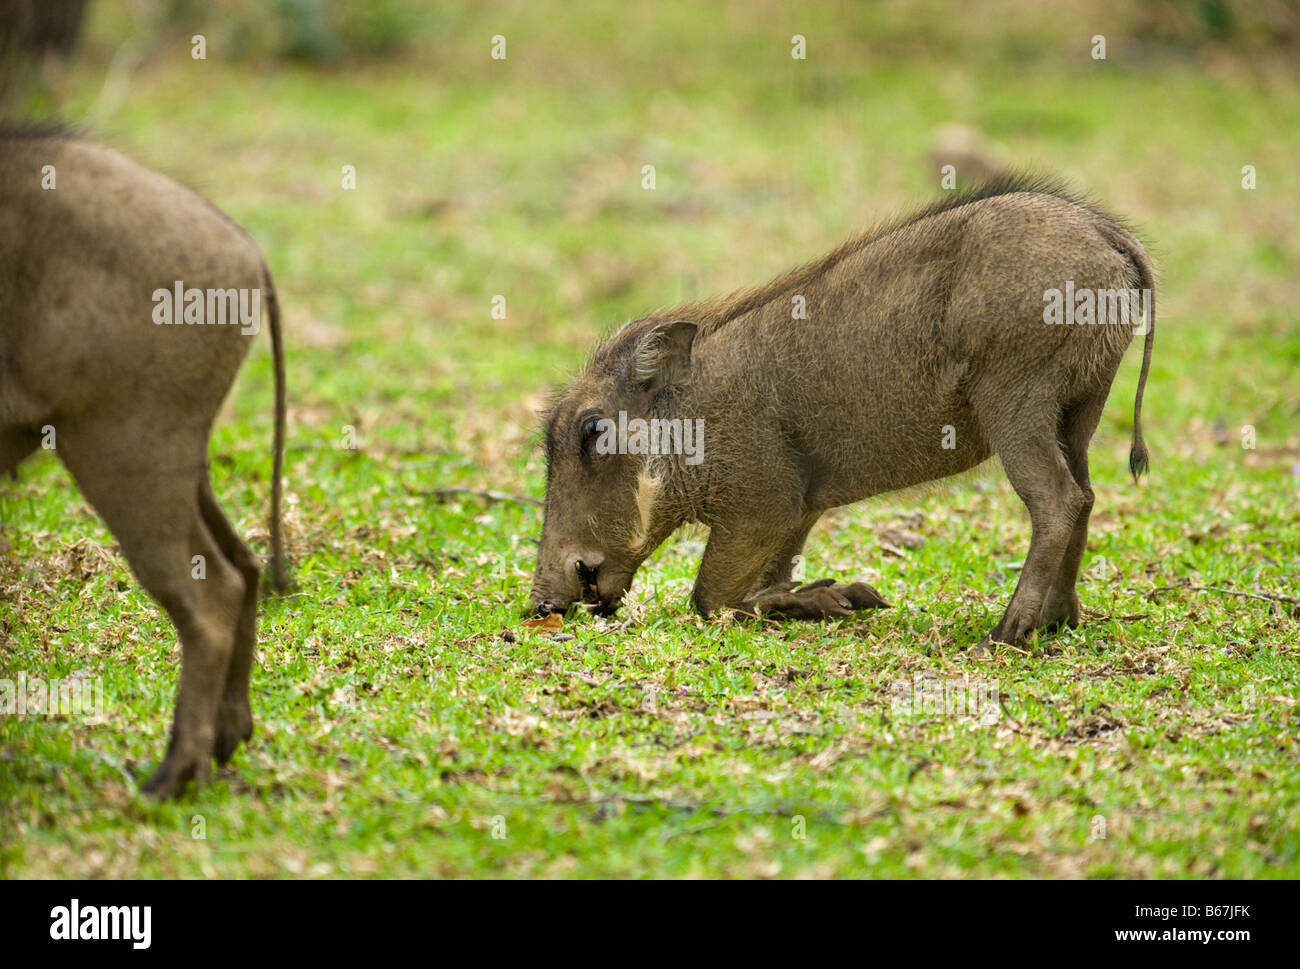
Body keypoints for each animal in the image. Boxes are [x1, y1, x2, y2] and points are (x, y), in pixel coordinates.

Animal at [0, 124, 286, 796]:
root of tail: (243, 243)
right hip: (179, 454)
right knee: (243, 566)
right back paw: (223, 748)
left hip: (126, 447)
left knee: (211, 595)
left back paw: (165, 782)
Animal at [531, 174, 1155, 648]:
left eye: (593, 431)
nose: (540, 607)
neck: (690, 419)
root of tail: (1106, 232)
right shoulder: (798, 508)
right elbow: (767, 578)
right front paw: (839, 597)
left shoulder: (762, 504)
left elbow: (710, 599)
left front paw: (828, 601)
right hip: (1081, 403)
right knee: (1085, 495)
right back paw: (1058, 622)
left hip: (1017, 398)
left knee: (1057, 500)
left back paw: (1006, 634)